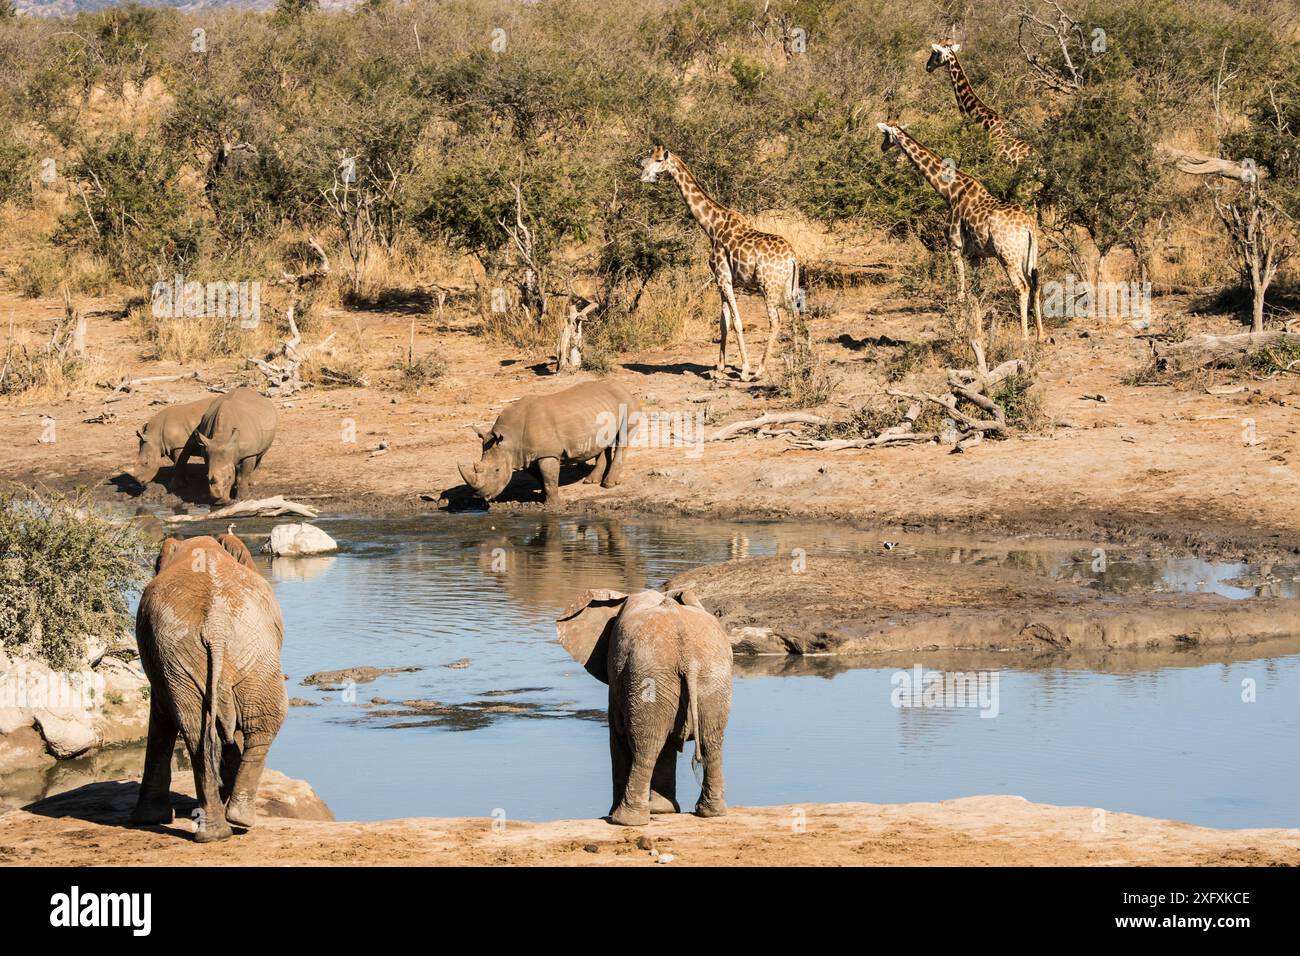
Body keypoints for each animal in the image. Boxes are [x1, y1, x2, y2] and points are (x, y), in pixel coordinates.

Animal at [131, 533, 288, 843]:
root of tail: (215, 625)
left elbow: (161, 720)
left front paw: (149, 819)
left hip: (231, 657)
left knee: (201, 732)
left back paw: (222, 827)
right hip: (227, 657)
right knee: (257, 725)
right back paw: (234, 821)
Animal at [556, 588, 732, 826]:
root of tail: (688, 653)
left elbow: (618, 734)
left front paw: (616, 814)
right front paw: (663, 810)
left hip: (650, 674)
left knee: (645, 743)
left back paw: (623, 820)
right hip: (712, 677)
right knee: (710, 740)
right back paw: (711, 812)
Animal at [640, 146, 800, 381]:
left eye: (659, 160)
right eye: (647, 158)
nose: (643, 176)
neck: (712, 227)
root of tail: (792, 257)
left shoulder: (724, 277)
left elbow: (736, 322)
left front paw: (744, 370)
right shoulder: (721, 280)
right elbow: (724, 323)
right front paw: (719, 369)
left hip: (768, 285)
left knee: (776, 319)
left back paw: (759, 370)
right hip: (788, 285)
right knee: (795, 314)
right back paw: (799, 358)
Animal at [877, 122, 1043, 341]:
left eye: (885, 135)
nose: (882, 147)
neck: (951, 193)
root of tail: (1028, 226)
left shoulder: (954, 248)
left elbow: (960, 292)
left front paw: (958, 331)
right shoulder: (975, 256)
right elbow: (976, 292)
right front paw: (976, 331)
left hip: (1007, 255)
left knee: (1022, 287)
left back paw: (1024, 337)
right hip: (1029, 255)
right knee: (1035, 283)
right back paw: (1041, 335)